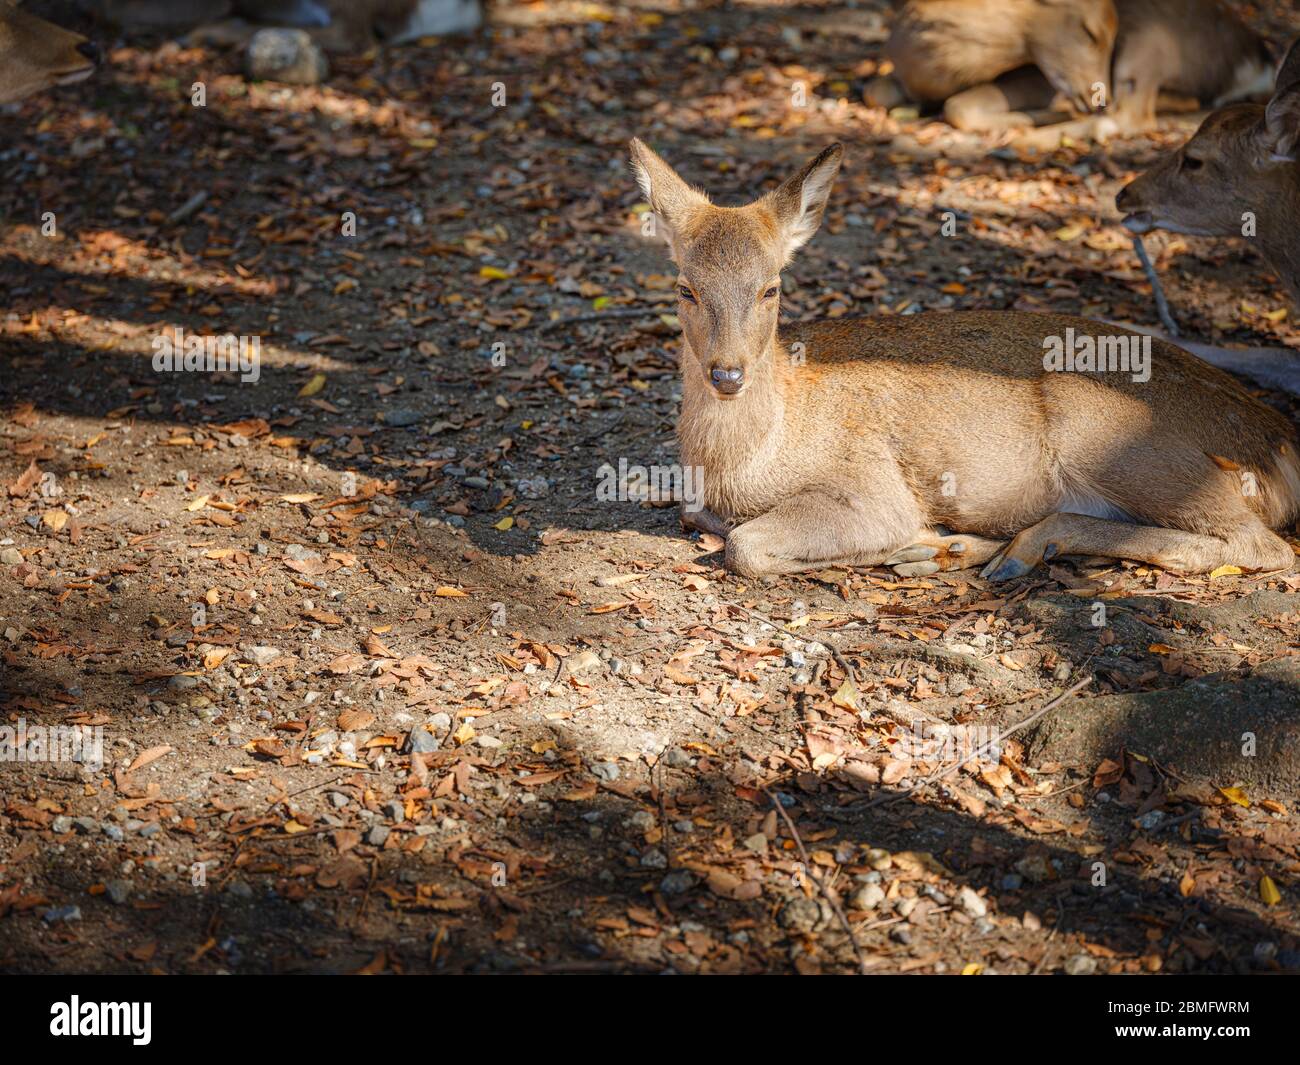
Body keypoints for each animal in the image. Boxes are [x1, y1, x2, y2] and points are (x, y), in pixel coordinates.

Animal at [628, 137, 1300, 581]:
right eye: (685, 287)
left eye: (771, 287)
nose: (727, 374)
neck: (741, 462)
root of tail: (1278, 440)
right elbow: (696, 515)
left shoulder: (870, 485)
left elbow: (747, 546)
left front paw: (920, 540)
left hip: (1114, 435)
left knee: (1264, 546)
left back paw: (990, 549)